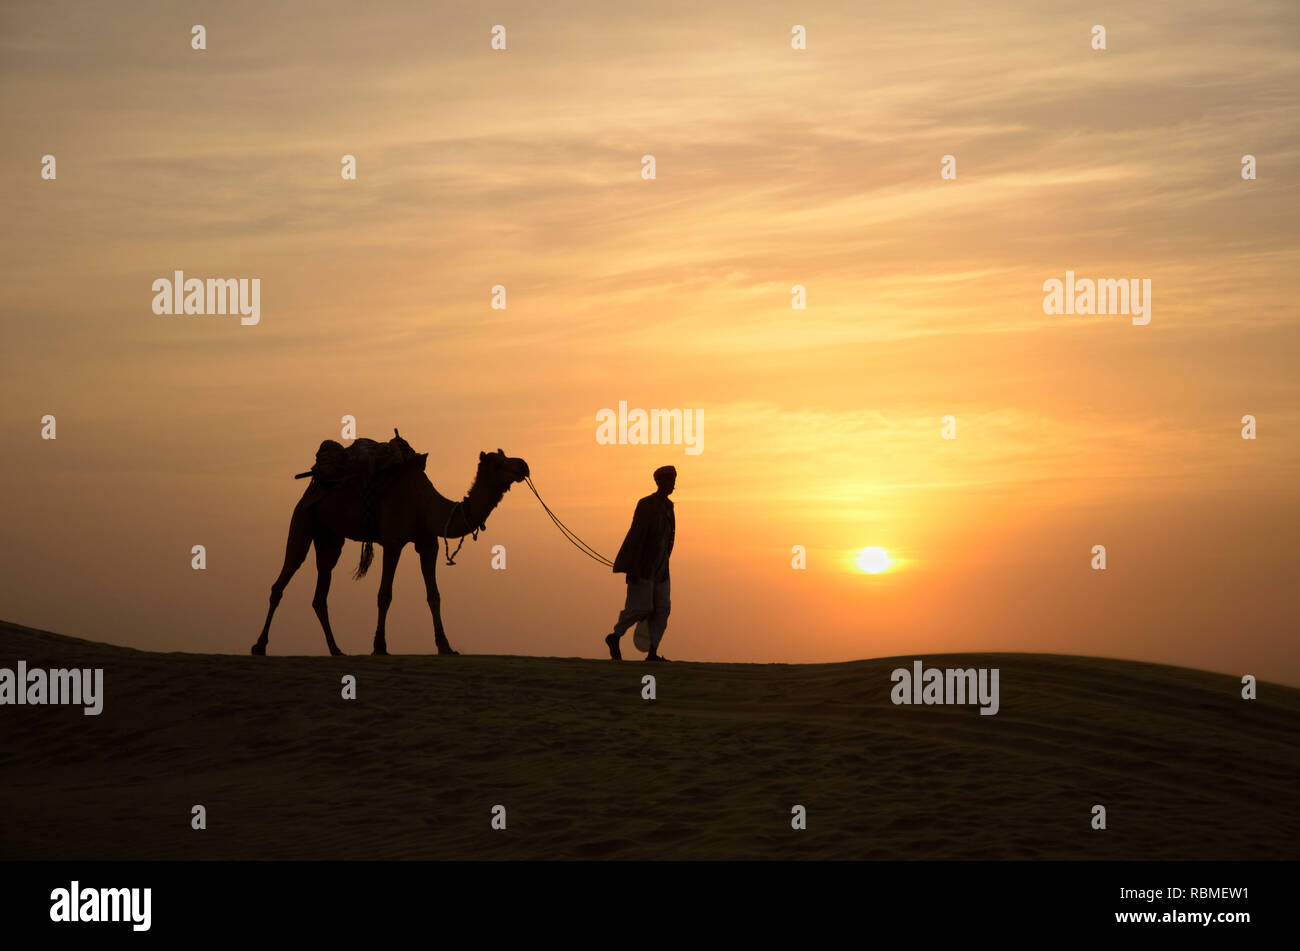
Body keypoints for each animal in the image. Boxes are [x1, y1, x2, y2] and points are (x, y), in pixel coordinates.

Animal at [252, 444, 530, 656]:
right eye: (498, 464)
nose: (524, 465)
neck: (424, 504)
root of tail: (314, 482)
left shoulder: (428, 544)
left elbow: (434, 595)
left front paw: (445, 646)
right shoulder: (393, 542)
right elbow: (384, 594)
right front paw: (379, 646)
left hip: (330, 536)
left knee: (321, 588)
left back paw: (336, 649)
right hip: (303, 517)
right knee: (286, 573)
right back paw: (259, 646)